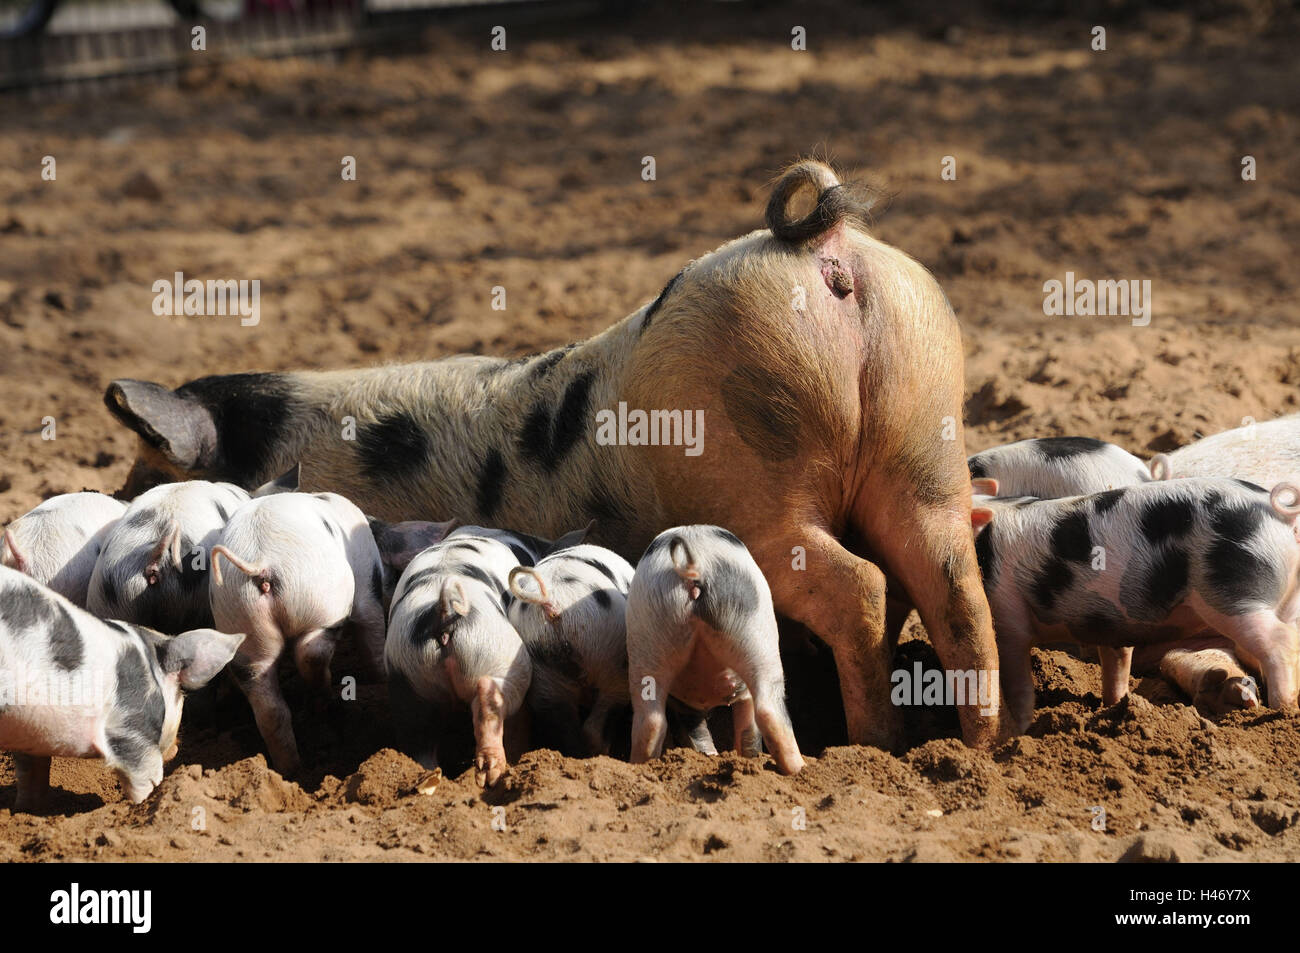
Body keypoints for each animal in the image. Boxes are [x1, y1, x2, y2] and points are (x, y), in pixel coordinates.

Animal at [0, 565, 243, 811]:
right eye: (179, 696)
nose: (176, 749)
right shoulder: (130, 726)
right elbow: (144, 777)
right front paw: (143, 804)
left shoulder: (30, 732)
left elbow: (31, 773)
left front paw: (25, 811)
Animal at [208, 490, 411, 777]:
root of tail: (262, 564)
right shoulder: (366, 584)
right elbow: (370, 630)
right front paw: (380, 680)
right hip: (320, 604)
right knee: (312, 654)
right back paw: (324, 701)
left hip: (240, 622)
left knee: (269, 707)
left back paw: (291, 771)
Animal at [384, 530, 533, 786]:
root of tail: (442, 611)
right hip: (497, 653)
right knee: (489, 697)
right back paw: (491, 775)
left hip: (407, 679)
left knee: (418, 740)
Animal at [626, 525, 804, 775]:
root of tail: (693, 565)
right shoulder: (742, 694)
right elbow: (747, 728)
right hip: (753, 628)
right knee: (768, 709)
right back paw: (800, 769)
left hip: (650, 630)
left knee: (650, 720)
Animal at [971, 478, 1300, 733]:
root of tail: (1275, 512)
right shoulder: (1107, 621)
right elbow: (1116, 661)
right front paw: (1112, 708)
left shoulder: (1007, 615)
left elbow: (1016, 677)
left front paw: (1018, 732)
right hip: (1282, 599)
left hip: (1235, 591)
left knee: (1280, 642)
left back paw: (1280, 710)